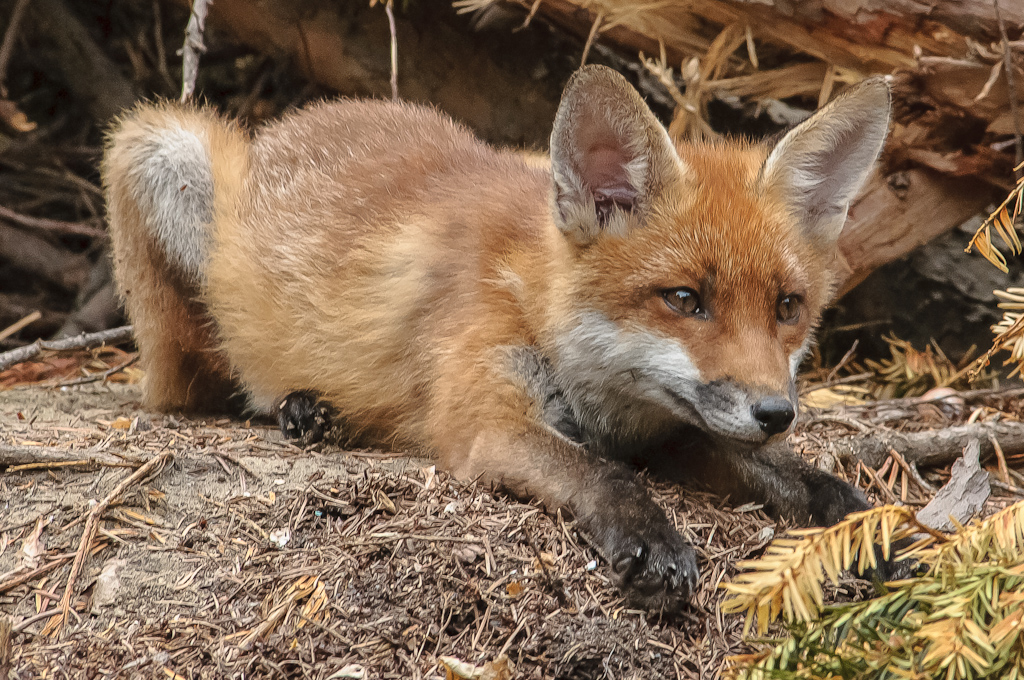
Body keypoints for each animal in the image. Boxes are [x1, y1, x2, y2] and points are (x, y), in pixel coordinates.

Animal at [103, 65, 890, 609]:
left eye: (787, 307)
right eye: (685, 299)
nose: (777, 412)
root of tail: (295, 122)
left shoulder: (674, 430)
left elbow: (793, 475)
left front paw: (866, 525)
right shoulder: (488, 423)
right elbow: (601, 475)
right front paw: (652, 538)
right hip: (160, 151)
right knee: (208, 383)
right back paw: (298, 406)